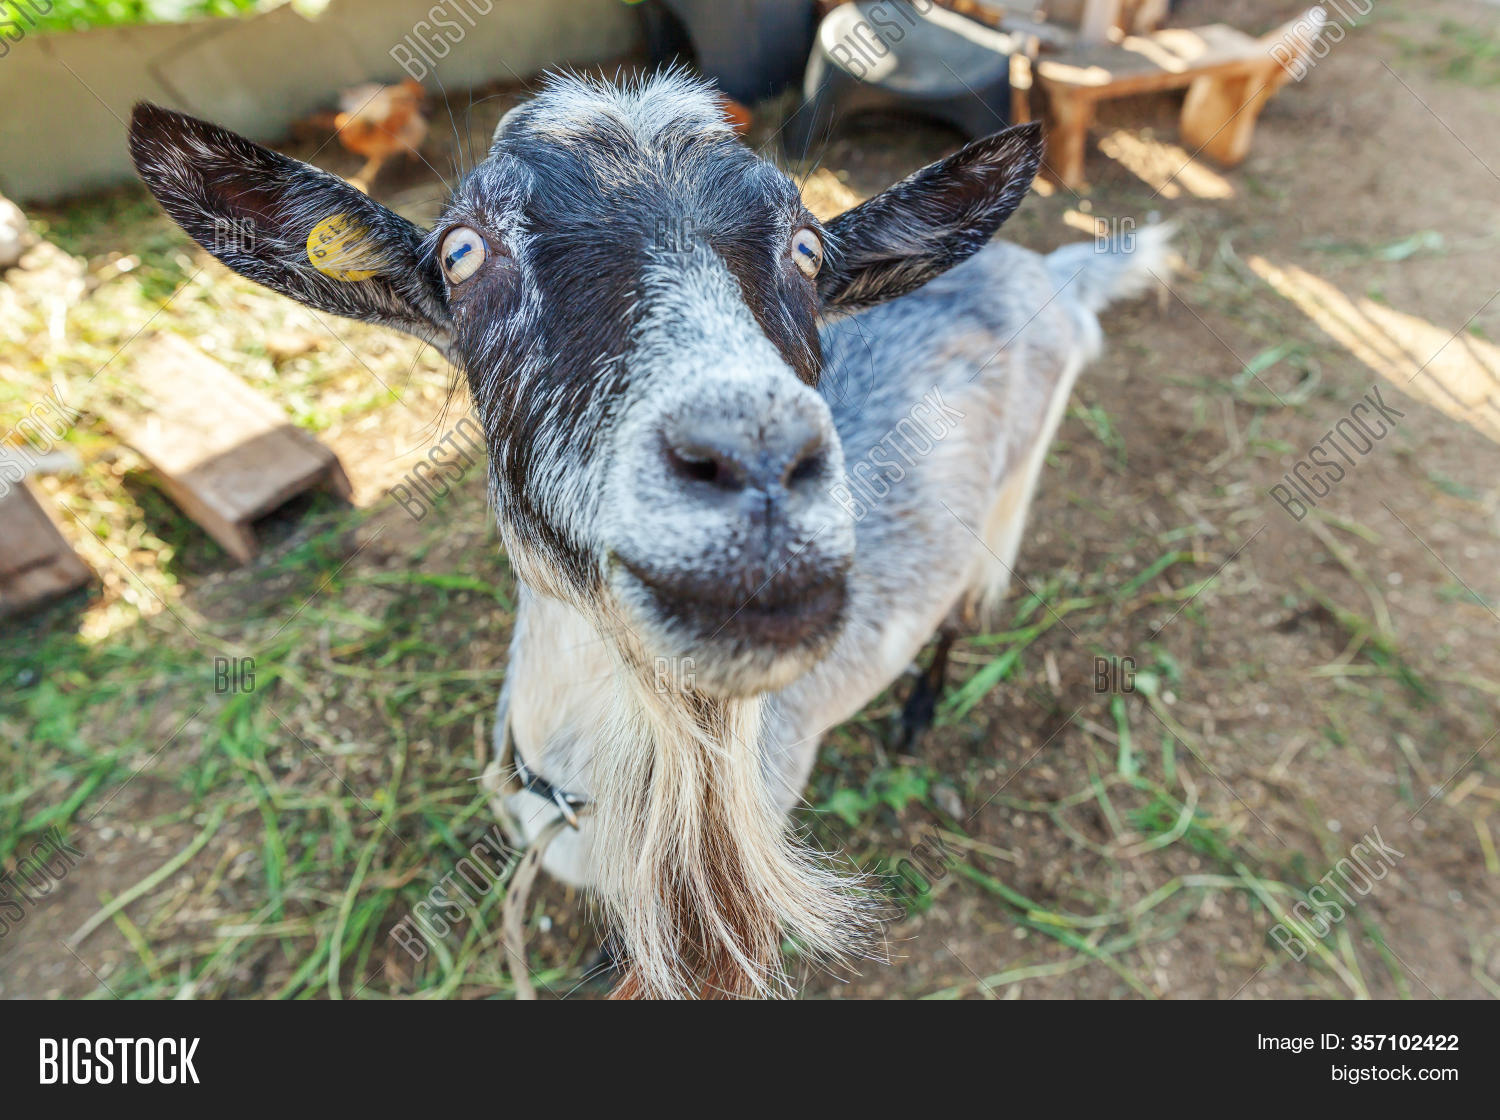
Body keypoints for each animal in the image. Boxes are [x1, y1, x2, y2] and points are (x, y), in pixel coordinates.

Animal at [128, 69, 1168, 1000]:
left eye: (808, 250)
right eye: (461, 254)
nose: (755, 460)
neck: (588, 791)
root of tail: (1046, 265)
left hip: (1013, 487)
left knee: (963, 606)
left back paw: (917, 714)